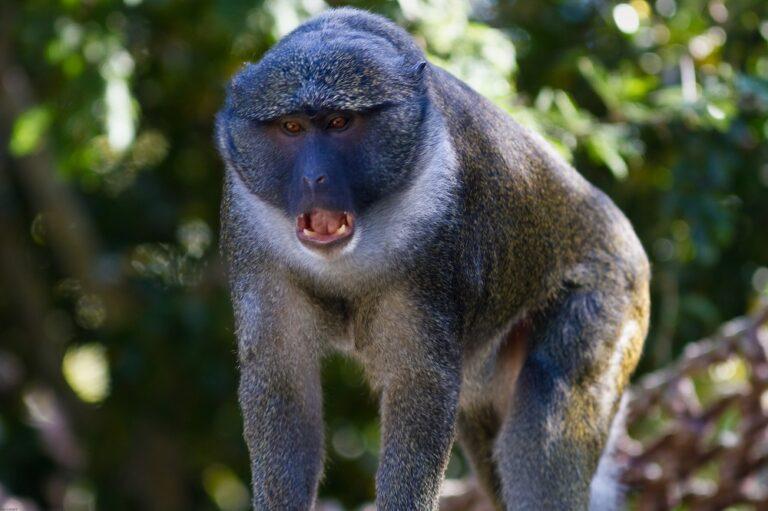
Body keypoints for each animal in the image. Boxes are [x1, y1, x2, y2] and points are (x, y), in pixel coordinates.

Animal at [215, 7, 649, 511]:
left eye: (340, 122)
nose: (313, 178)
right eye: (291, 128)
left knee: (543, 427)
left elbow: (420, 385)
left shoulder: (433, 238)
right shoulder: (250, 228)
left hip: (611, 293)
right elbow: (283, 384)